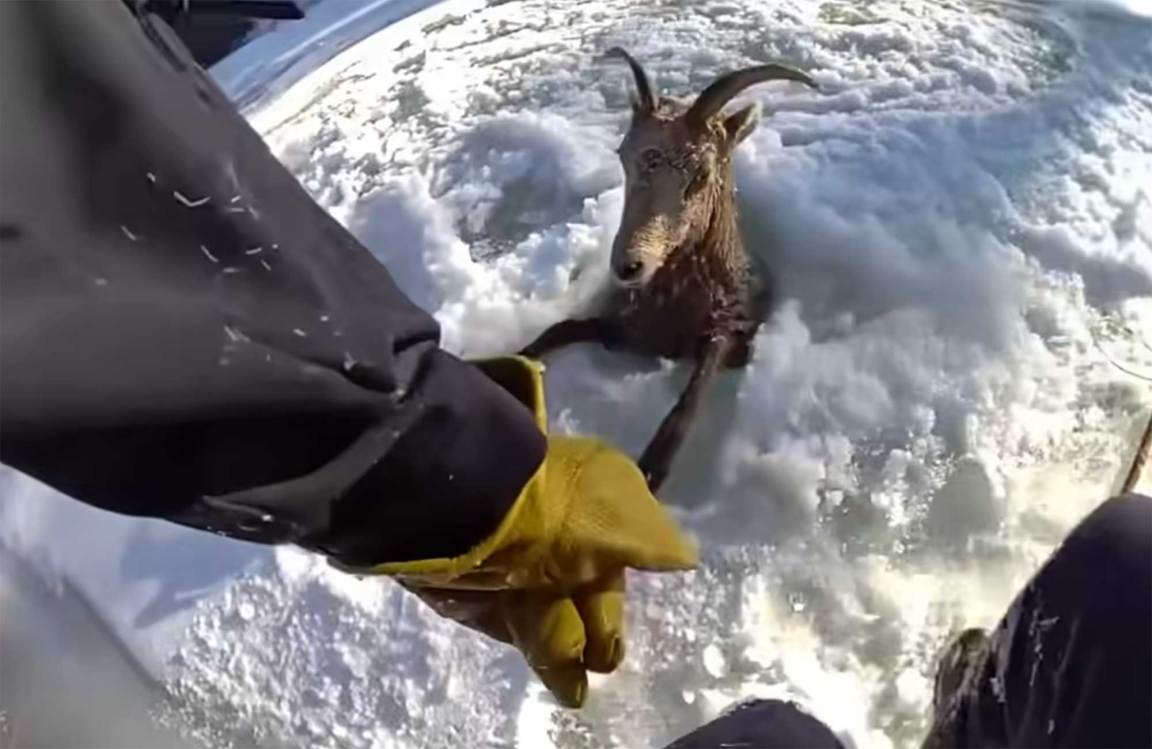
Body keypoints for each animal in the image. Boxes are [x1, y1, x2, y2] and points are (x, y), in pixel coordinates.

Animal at [520, 48, 818, 491]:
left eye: (702, 172)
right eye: (624, 155)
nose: (629, 265)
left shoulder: (728, 330)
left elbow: (692, 394)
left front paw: (649, 472)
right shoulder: (623, 327)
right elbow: (556, 330)